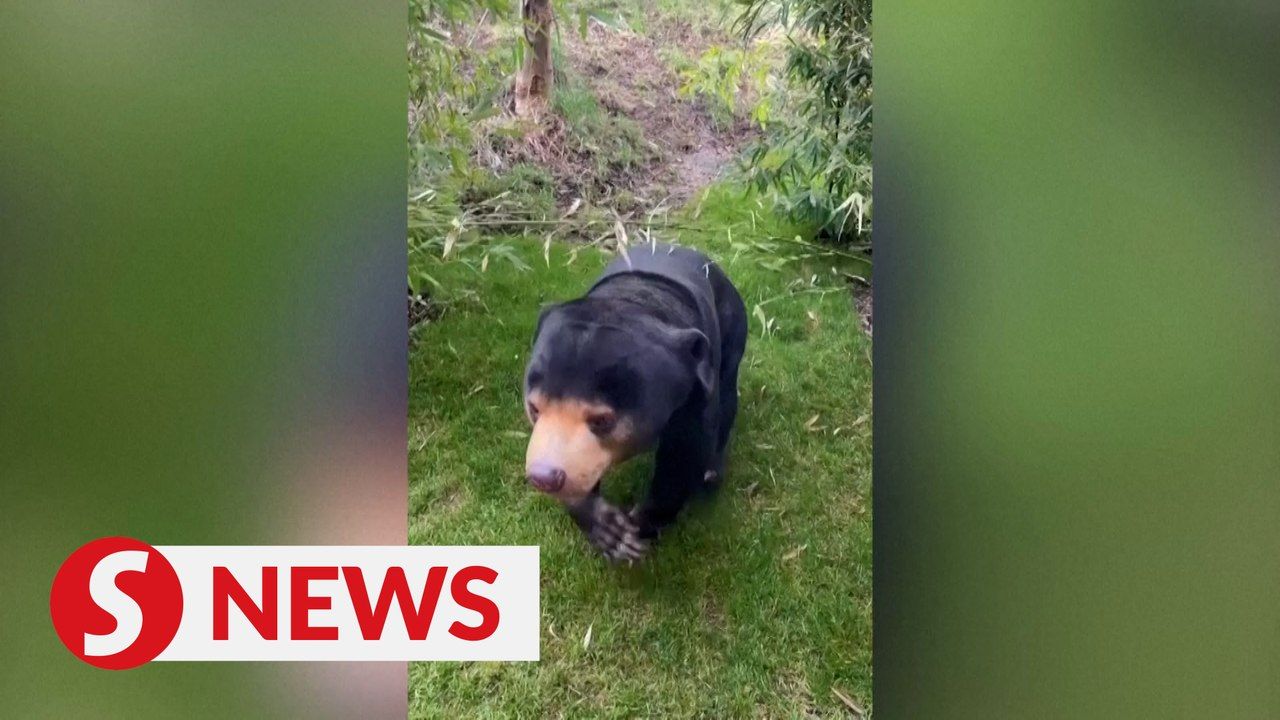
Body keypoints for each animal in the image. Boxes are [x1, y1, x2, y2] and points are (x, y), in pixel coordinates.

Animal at [522, 242, 748, 562]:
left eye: (603, 420)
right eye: (534, 408)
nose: (544, 477)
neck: (635, 298)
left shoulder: (695, 389)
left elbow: (685, 453)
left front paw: (640, 527)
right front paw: (608, 531)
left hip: (733, 323)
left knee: (728, 394)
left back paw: (712, 474)